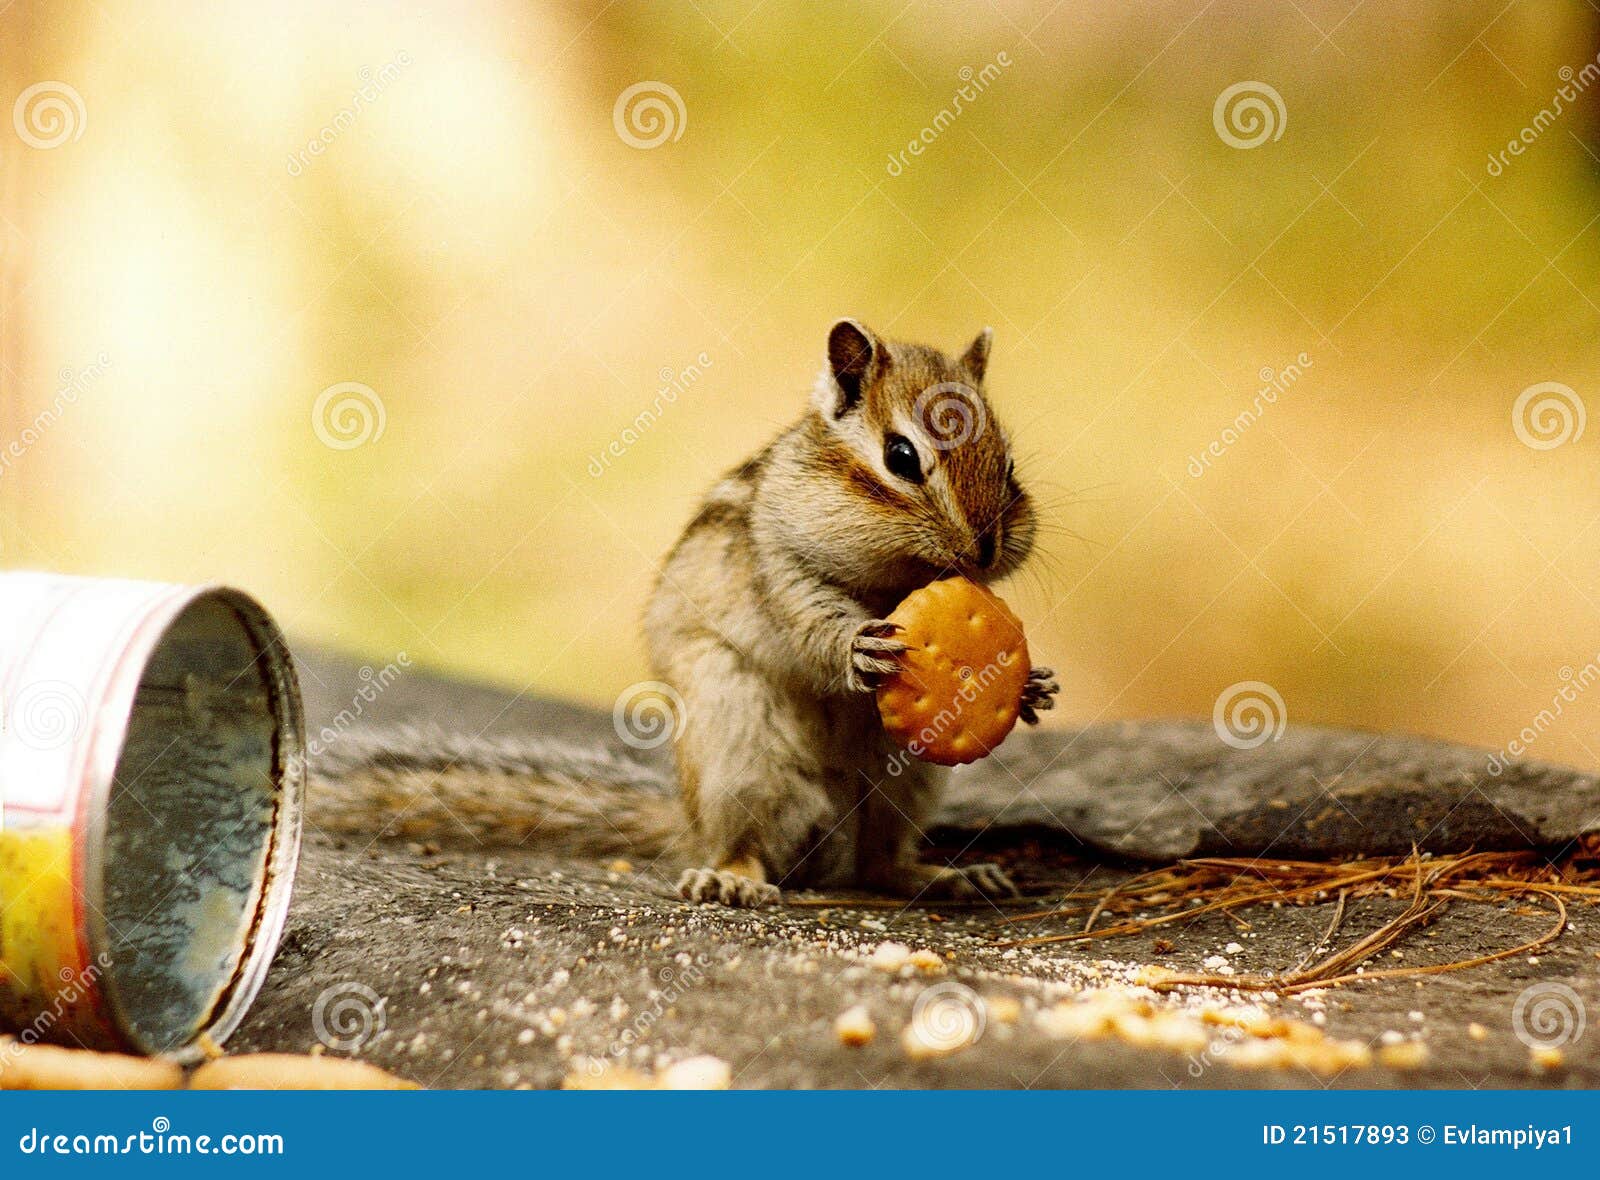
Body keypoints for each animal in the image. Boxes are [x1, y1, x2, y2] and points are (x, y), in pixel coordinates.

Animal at [314, 320, 1058, 907]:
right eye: (901, 456)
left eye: (1009, 464)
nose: (985, 548)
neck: (896, 583)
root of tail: (690, 821)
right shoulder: (776, 560)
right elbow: (807, 620)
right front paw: (857, 649)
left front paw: (1031, 685)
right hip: (738, 749)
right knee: (748, 844)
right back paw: (730, 877)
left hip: (912, 779)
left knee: (879, 863)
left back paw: (945, 877)